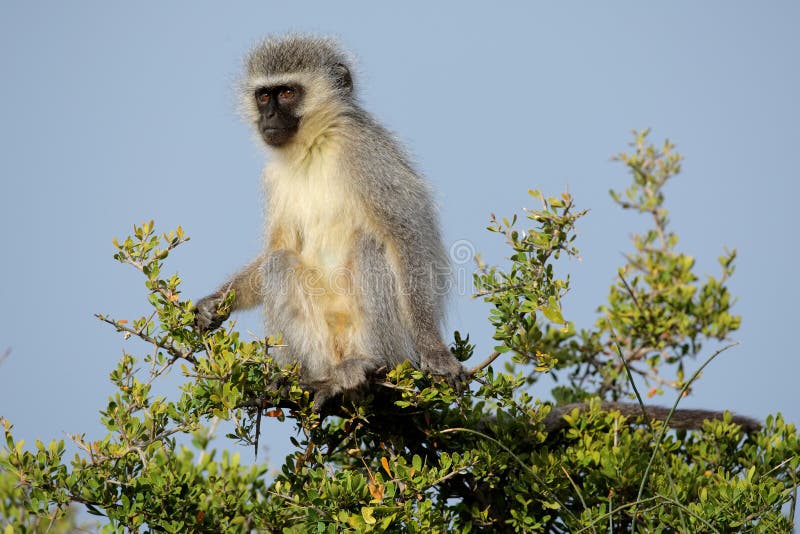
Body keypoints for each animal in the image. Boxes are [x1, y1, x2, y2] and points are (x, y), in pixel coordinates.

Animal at [194, 34, 466, 411]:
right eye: (263, 96)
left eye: (288, 93)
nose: (269, 116)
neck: (313, 147)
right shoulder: (273, 178)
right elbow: (280, 246)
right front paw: (217, 302)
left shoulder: (363, 152)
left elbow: (406, 237)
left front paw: (435, 351)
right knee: (279, 263)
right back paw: (324, 379)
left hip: (392, 345)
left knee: (371, 246)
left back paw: (369, 366)